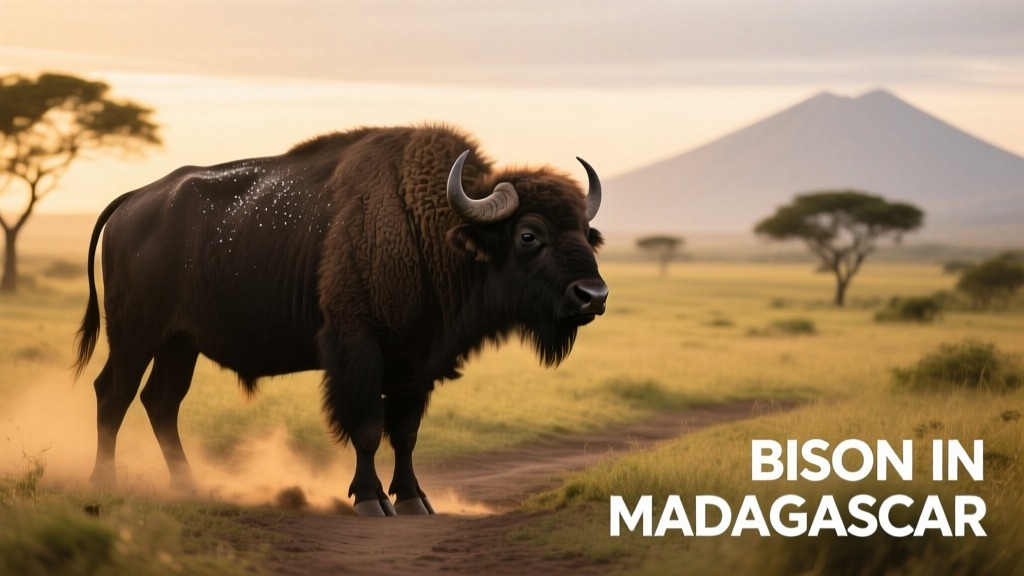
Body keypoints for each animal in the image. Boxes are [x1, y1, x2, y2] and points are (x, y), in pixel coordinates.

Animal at [74, 125, 608, 516]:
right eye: (528, 235)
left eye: (586, 233)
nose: (593, 296)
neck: (426, 226)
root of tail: (133, 202)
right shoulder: (359, 350)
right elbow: (368, 428)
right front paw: (371, 501)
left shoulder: (414, 362)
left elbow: (405, 433)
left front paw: (415, 500)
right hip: (135, 335)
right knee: (113, 393)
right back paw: (103, 482)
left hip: (179, 344)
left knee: (161, 402)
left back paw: (189, 486)